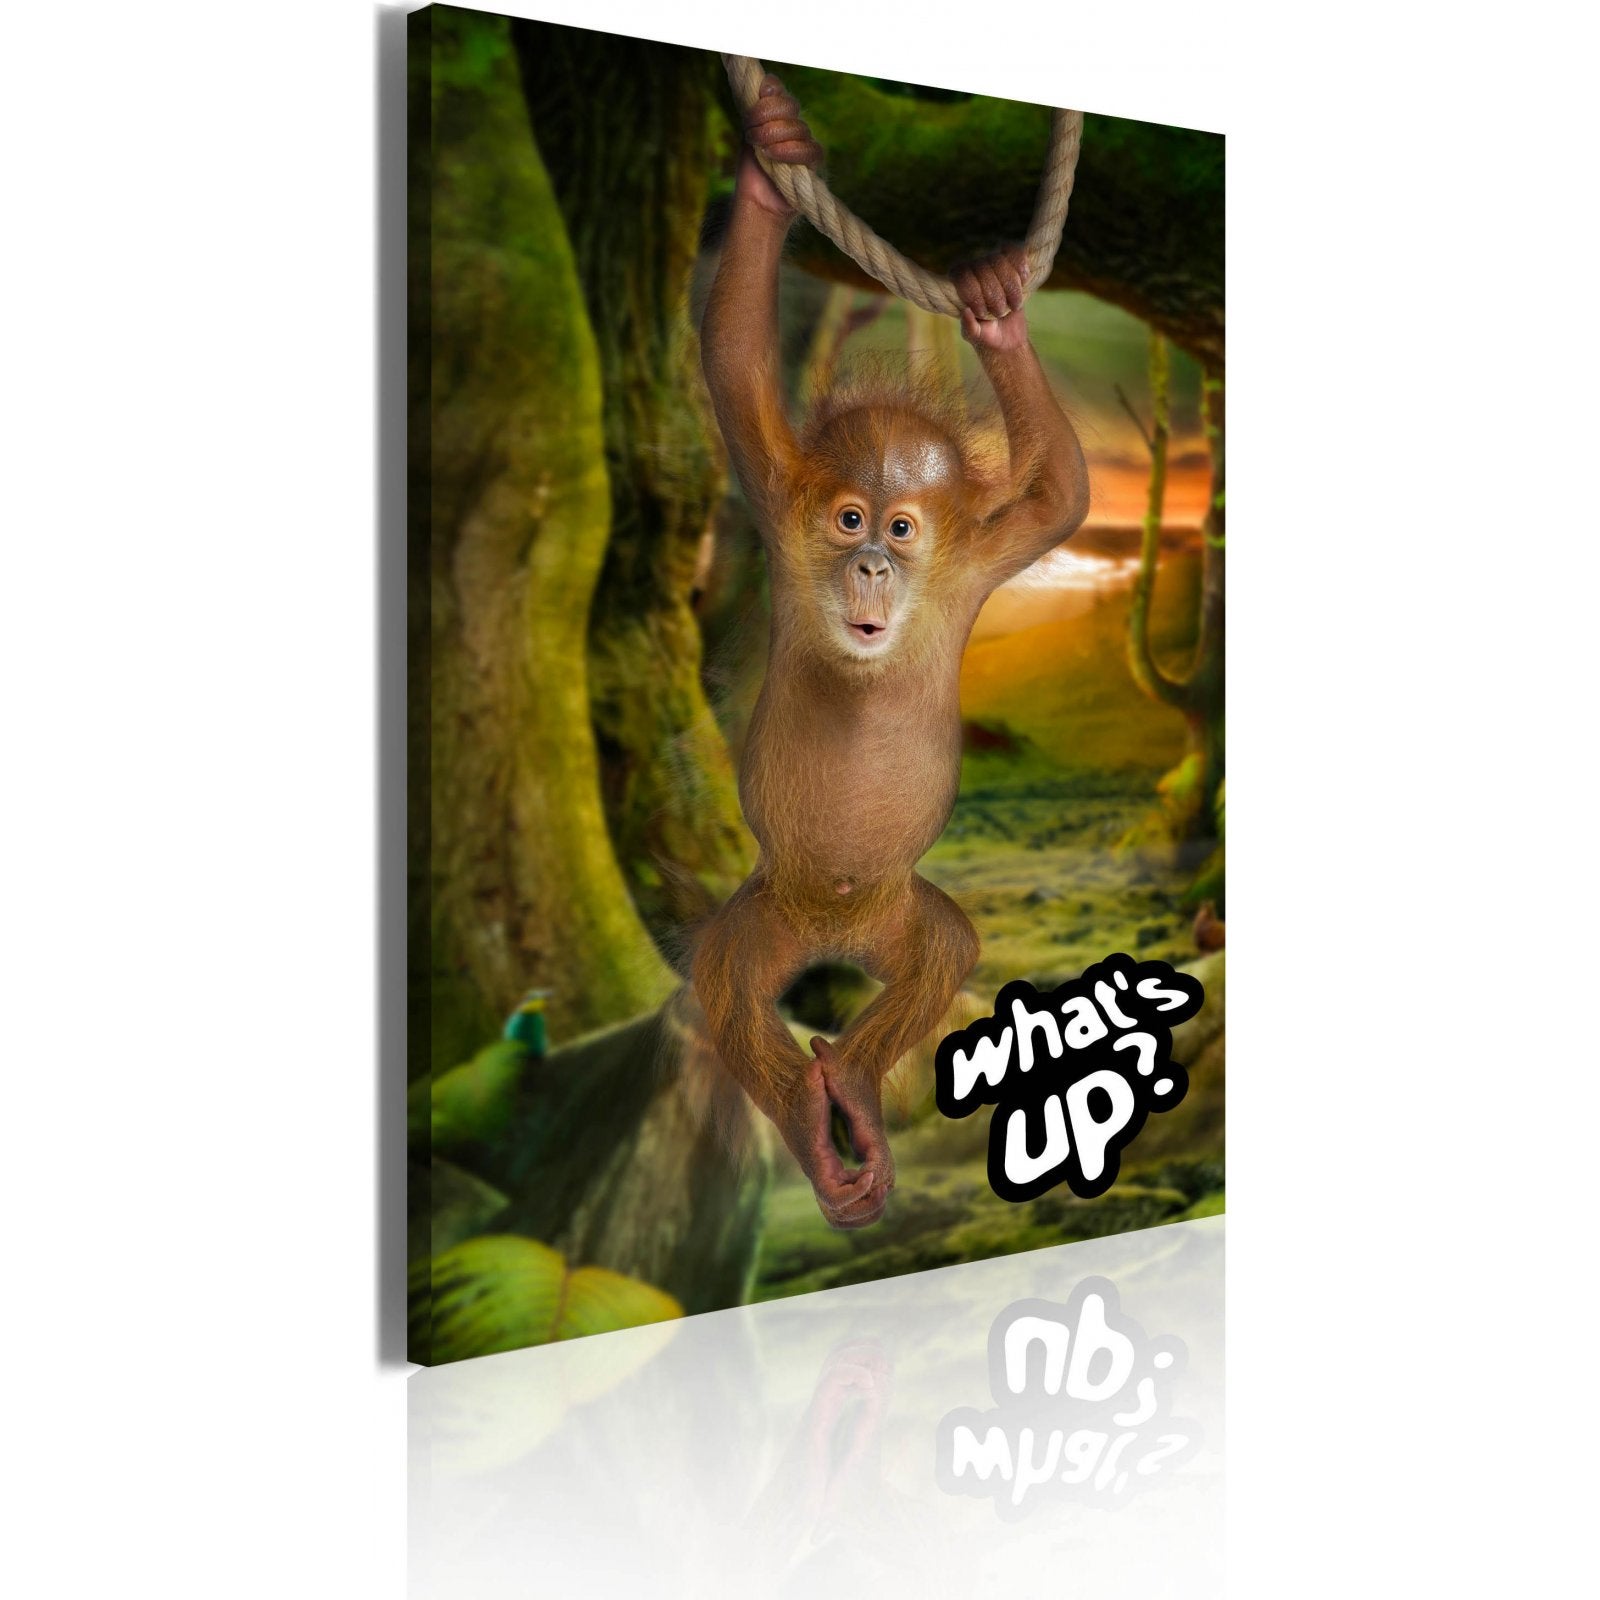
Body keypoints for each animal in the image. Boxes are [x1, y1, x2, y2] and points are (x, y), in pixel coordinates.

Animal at [693, 76, 1090, 1230]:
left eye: (903, 530)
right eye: (849, 519)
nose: (871, 566)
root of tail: (837, 931)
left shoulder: (980, 556)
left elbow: (1062, 496)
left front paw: (997, 306)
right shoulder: (776, 499)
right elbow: (732, 362)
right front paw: (768, 165)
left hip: (898, 916)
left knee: (942, 953)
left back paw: (857, 1090)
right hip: (771, 912)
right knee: (725, 982)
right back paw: (815, 1124)